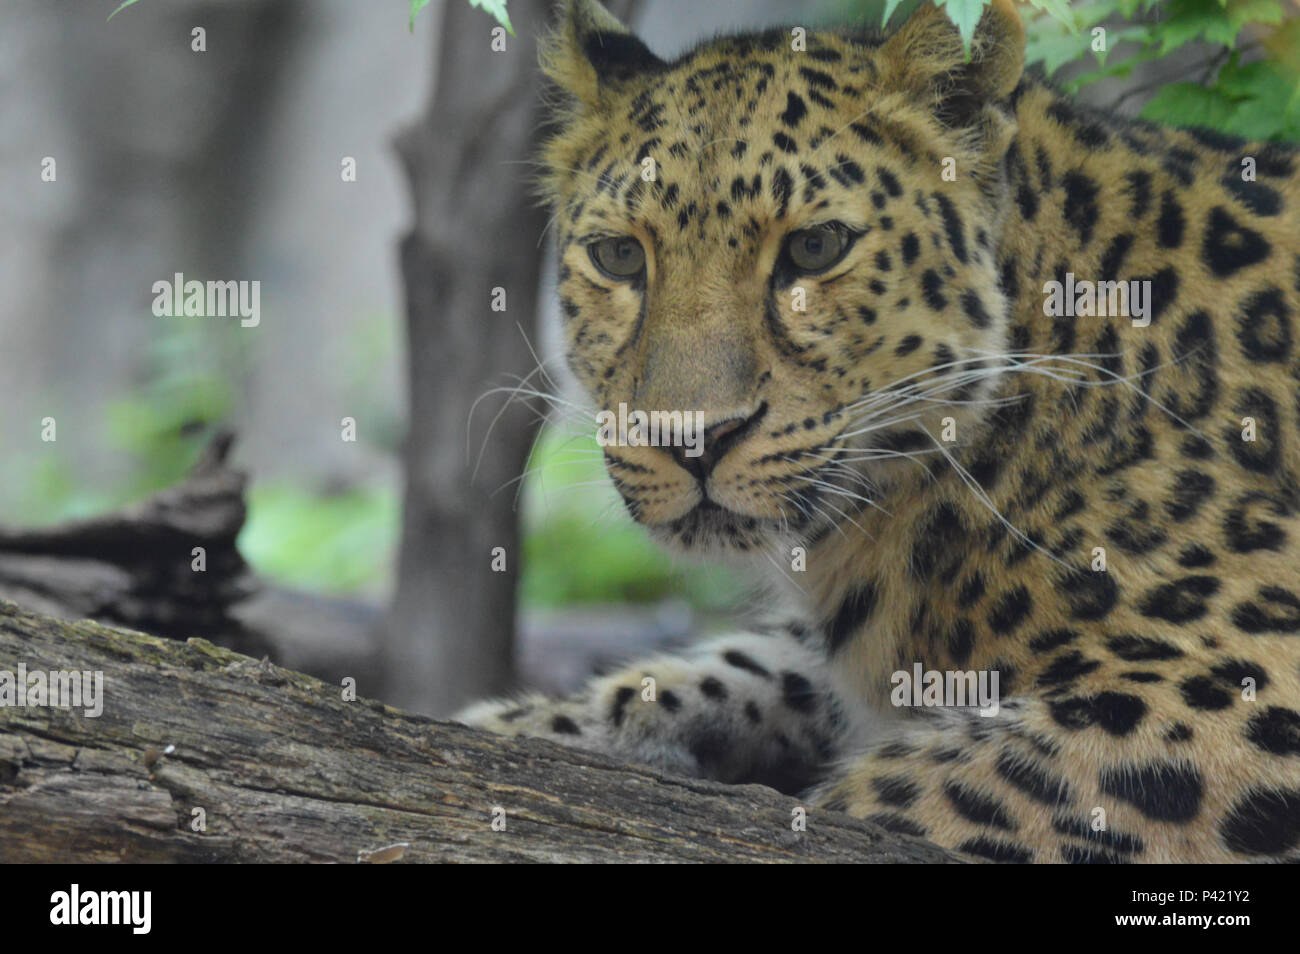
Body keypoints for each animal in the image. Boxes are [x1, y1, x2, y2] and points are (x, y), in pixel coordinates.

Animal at [458, 0, 1300, 863]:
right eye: (620, 256)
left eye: (815, 247)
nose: (691, 439)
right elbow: (738, 668)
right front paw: (525, 726)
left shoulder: (1238, 684)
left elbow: (899, 800)